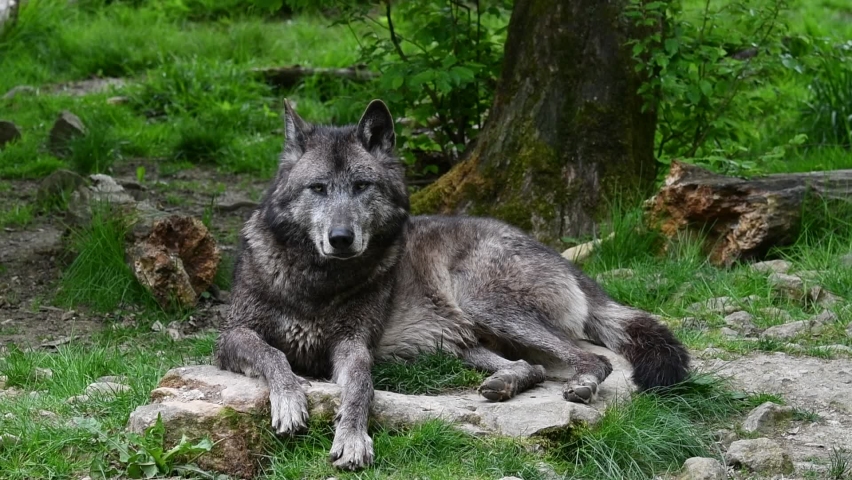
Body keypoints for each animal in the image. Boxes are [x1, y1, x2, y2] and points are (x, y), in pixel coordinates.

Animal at [215, 99, 691, 471]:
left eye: (362, 186)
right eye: (317, 188)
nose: (341, 238)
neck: (317, 282)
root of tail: (565, 261)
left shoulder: (353, 346)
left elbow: (360, 389)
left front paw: (351, 439)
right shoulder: (232, 336)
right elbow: (274, 355)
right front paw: (291, 400)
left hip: (484, 307)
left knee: (594, 359)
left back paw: (581, 384)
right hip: (458, 343)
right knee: (533, 366)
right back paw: (506, 383)